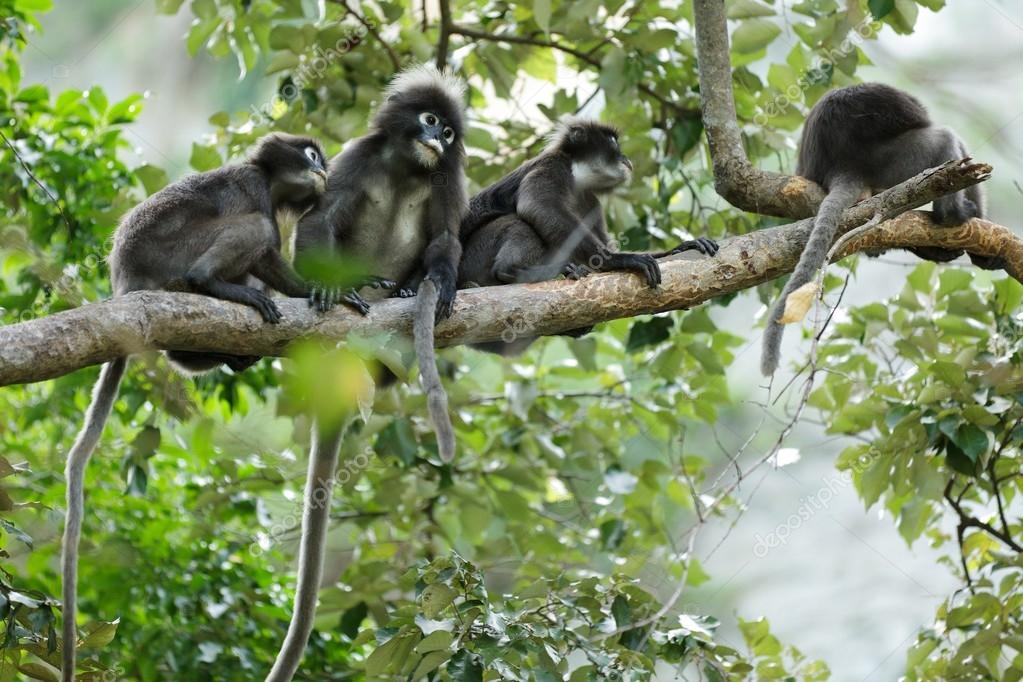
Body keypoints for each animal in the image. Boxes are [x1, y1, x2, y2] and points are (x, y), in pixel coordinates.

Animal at [59, 133, 343, 682]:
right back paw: (214, 284)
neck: (272, 185)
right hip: (173, 264)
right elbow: (266, 246)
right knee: (237, 244)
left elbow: (272, 265)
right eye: (311, 154)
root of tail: (127, 285)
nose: (325, 169)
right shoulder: (253, 190)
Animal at [265, 65, 468, 682]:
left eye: (450, 133)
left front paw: (438, 285)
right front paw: (325, 289)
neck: (408, 167)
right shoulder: (358, 156)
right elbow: (320, 219)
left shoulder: (449, 179)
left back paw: (403, 293)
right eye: (430, 120)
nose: (438, 139)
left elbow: (446, 238)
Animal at [457, 117, 719, 355]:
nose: (626, 159)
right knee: (517, 224)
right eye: (613, 142)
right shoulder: (552, 167)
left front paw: (683, 246)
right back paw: (518, 271)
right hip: (476, 256)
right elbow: (537, 207)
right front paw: (619, 260)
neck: (577, 180)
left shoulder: (589, 199)